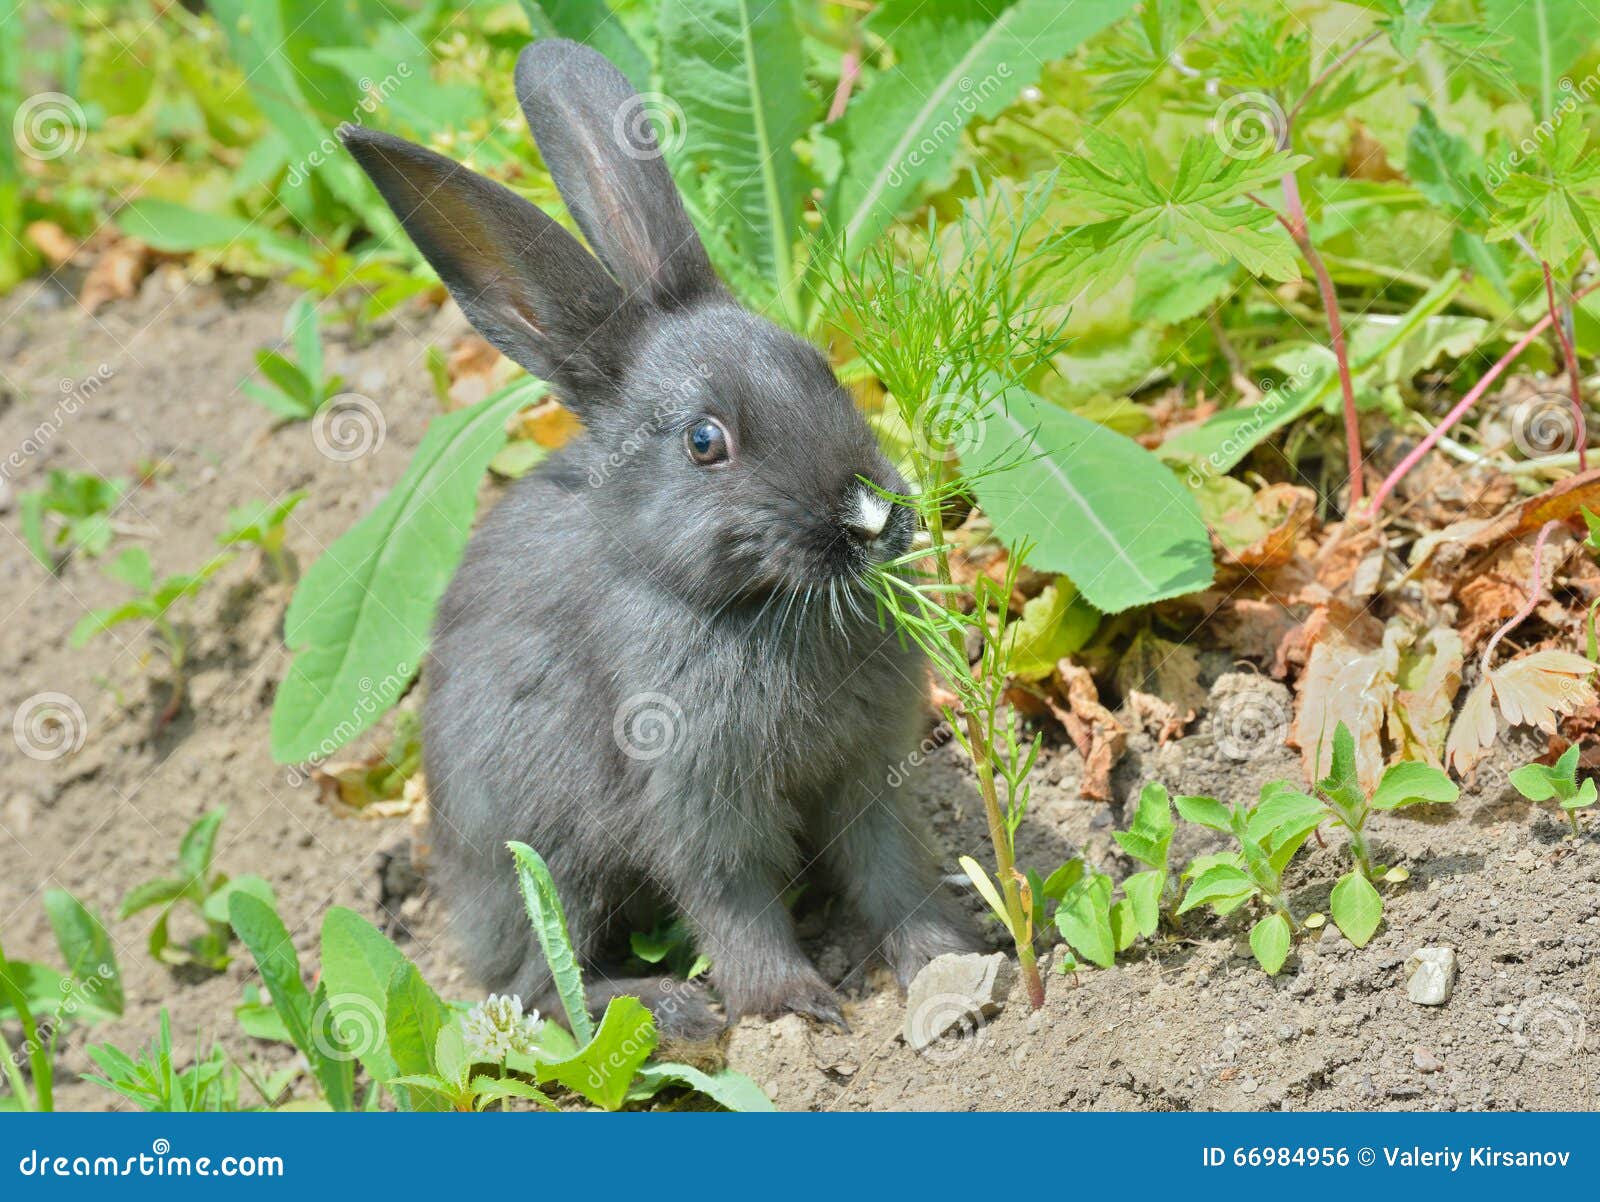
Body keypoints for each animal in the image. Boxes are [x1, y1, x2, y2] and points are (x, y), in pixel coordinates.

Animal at [339, 38, 981, 1039]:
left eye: (818, 366)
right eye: (704, 442)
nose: (875, 513)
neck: (741, 604)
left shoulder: (867, 776)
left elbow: (890, 867)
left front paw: (945, 957)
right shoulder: (696, 803)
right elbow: (733, 901)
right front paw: (793, 1004)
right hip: (550, 861)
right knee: (534, 989)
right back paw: (668, 1010)